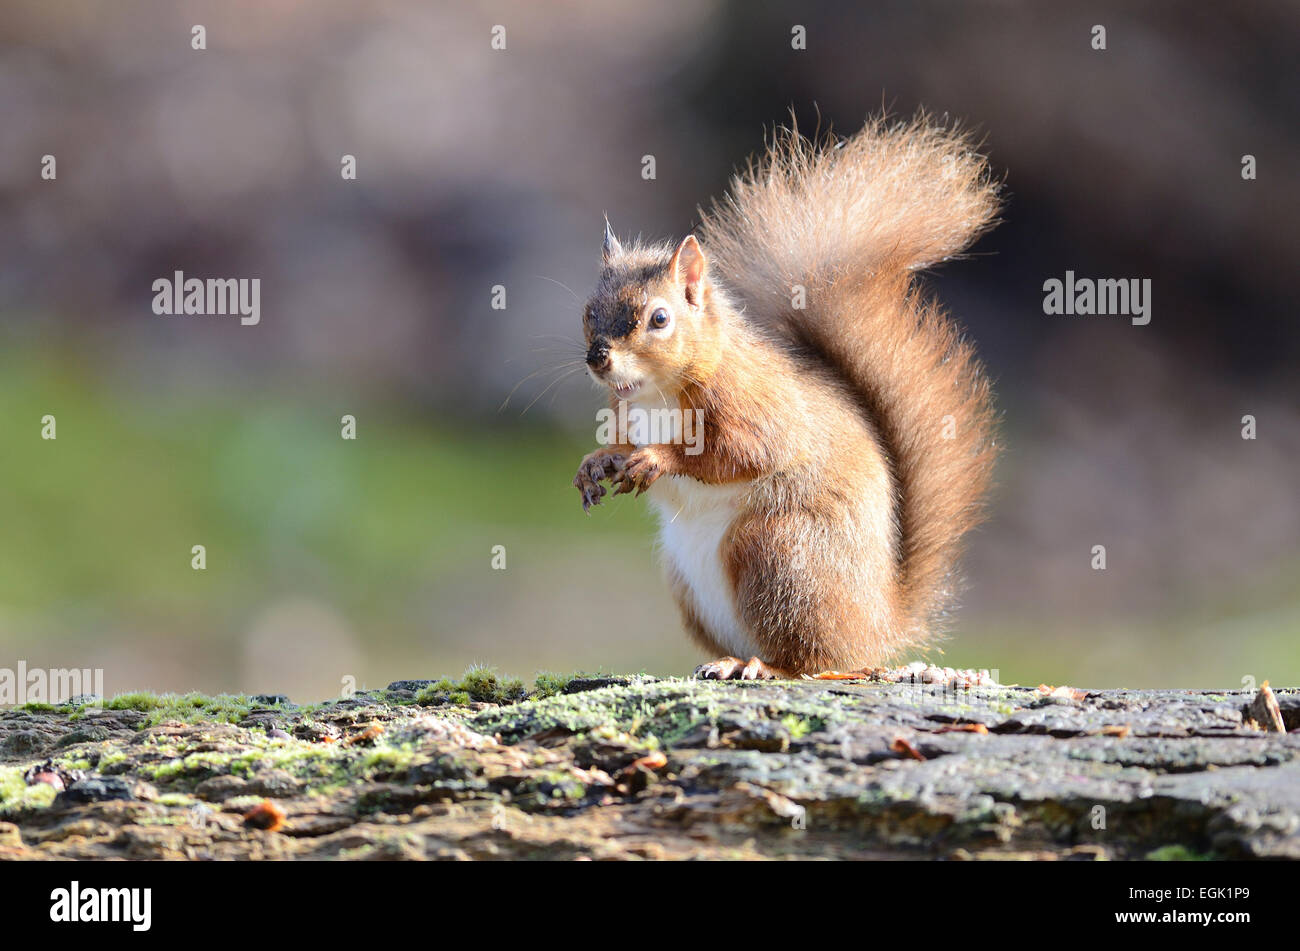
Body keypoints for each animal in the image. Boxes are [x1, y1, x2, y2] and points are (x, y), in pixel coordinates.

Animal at [572, 116, 1000, 680]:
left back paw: (761, 666)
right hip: (687, 580)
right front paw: (596, 463)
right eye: (587, 311)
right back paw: (729, 659)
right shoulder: (625, 412)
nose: (597, 358)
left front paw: (656, 459)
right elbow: (618, 446)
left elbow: (745, 453)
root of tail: (879, 624)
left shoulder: (755, 404)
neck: (657, 394)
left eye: (659, 318)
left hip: (778, 554)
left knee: (813, 660)